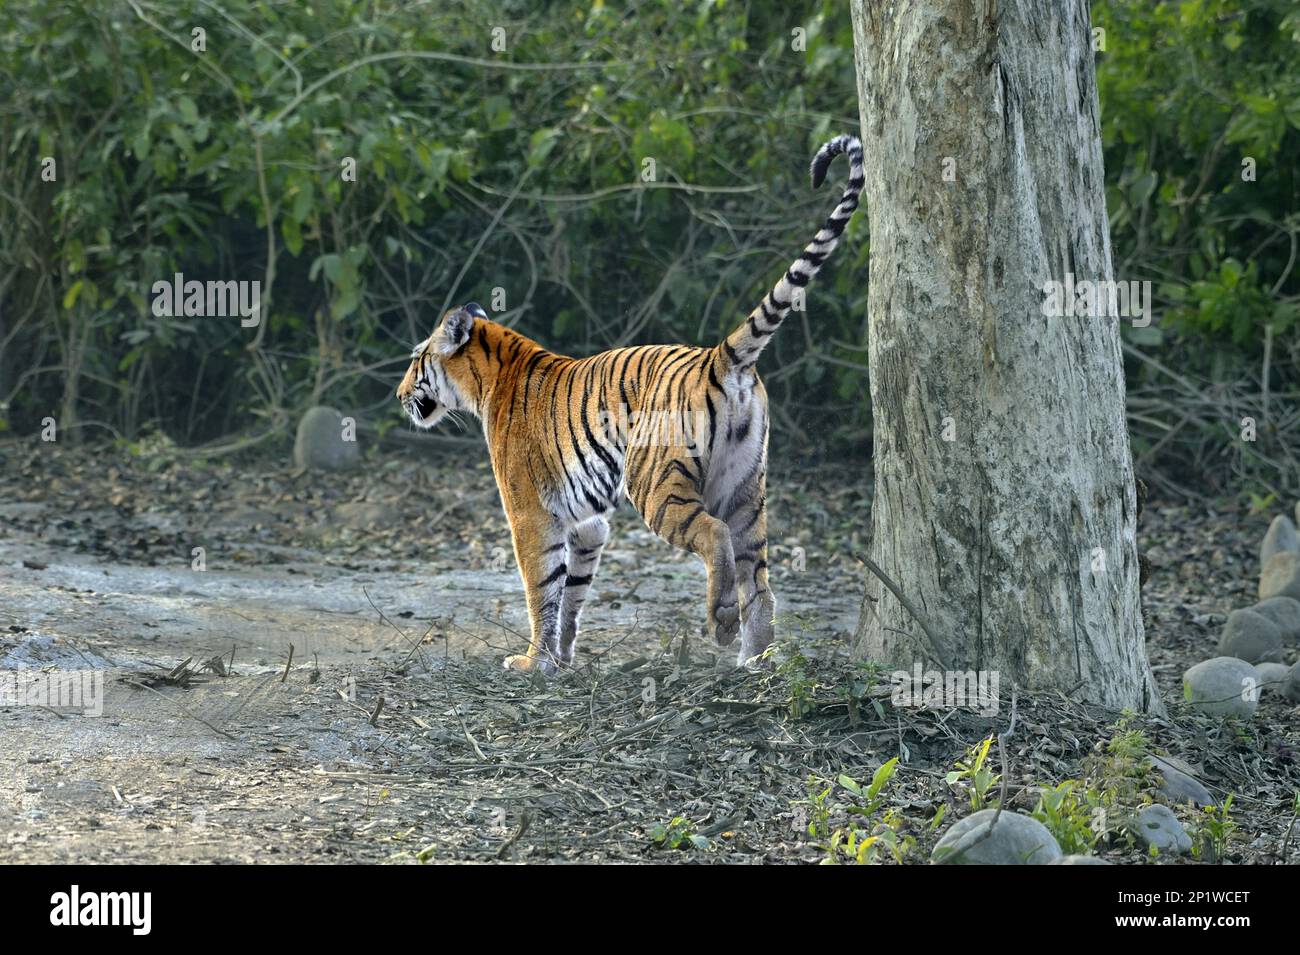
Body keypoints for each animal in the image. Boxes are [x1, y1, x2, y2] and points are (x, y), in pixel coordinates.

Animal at [397, 134, 864, 674]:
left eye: (417, 359)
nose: (400, 395)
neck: (491, 373)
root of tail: (718, 356)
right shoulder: (587, 525)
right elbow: (572, 593)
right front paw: (561, 658)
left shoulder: (530, 513)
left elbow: (541, 589)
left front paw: (533, 662)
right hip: (746, 487)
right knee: (760, 584)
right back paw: (753, 662)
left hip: (655, 482)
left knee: (714, 535)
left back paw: (722, 624)